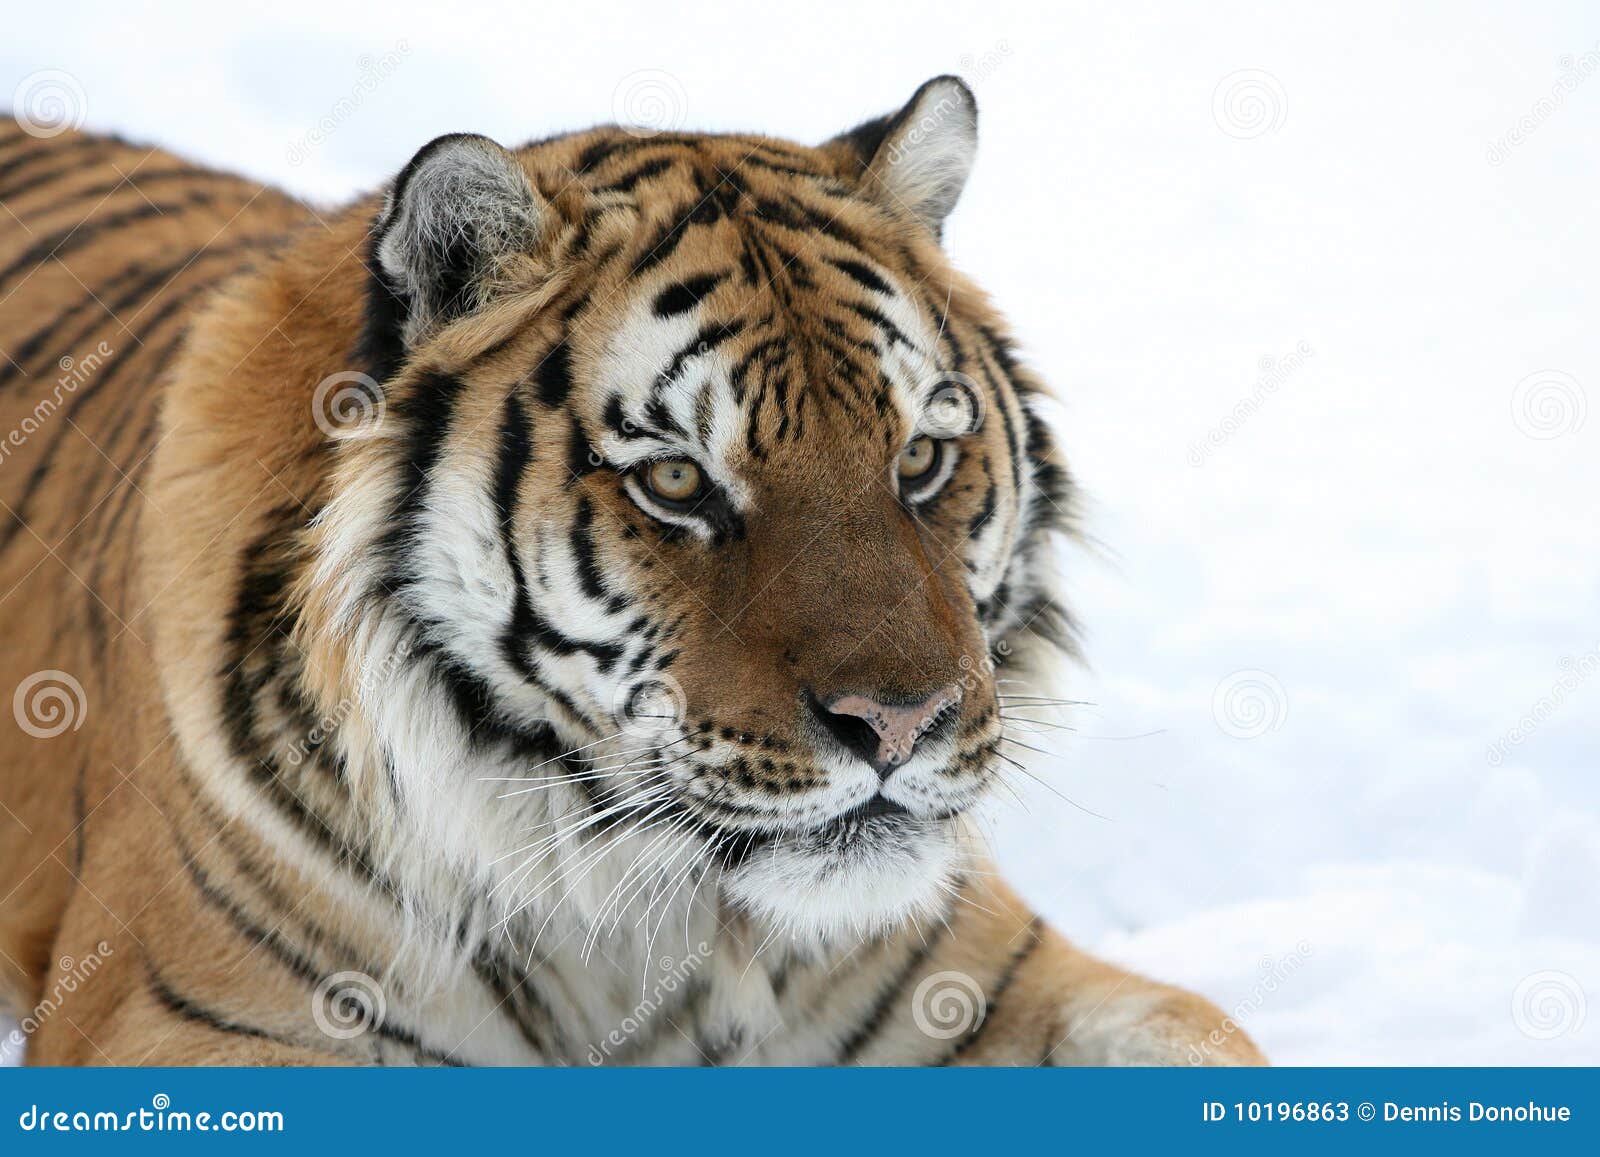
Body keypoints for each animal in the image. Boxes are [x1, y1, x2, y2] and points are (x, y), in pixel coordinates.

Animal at [0, 76, 1264, 1066]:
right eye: (676, 482)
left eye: (918, 457)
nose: (903, 723)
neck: (643, 921)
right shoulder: (188, 1019)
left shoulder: (978, 968)